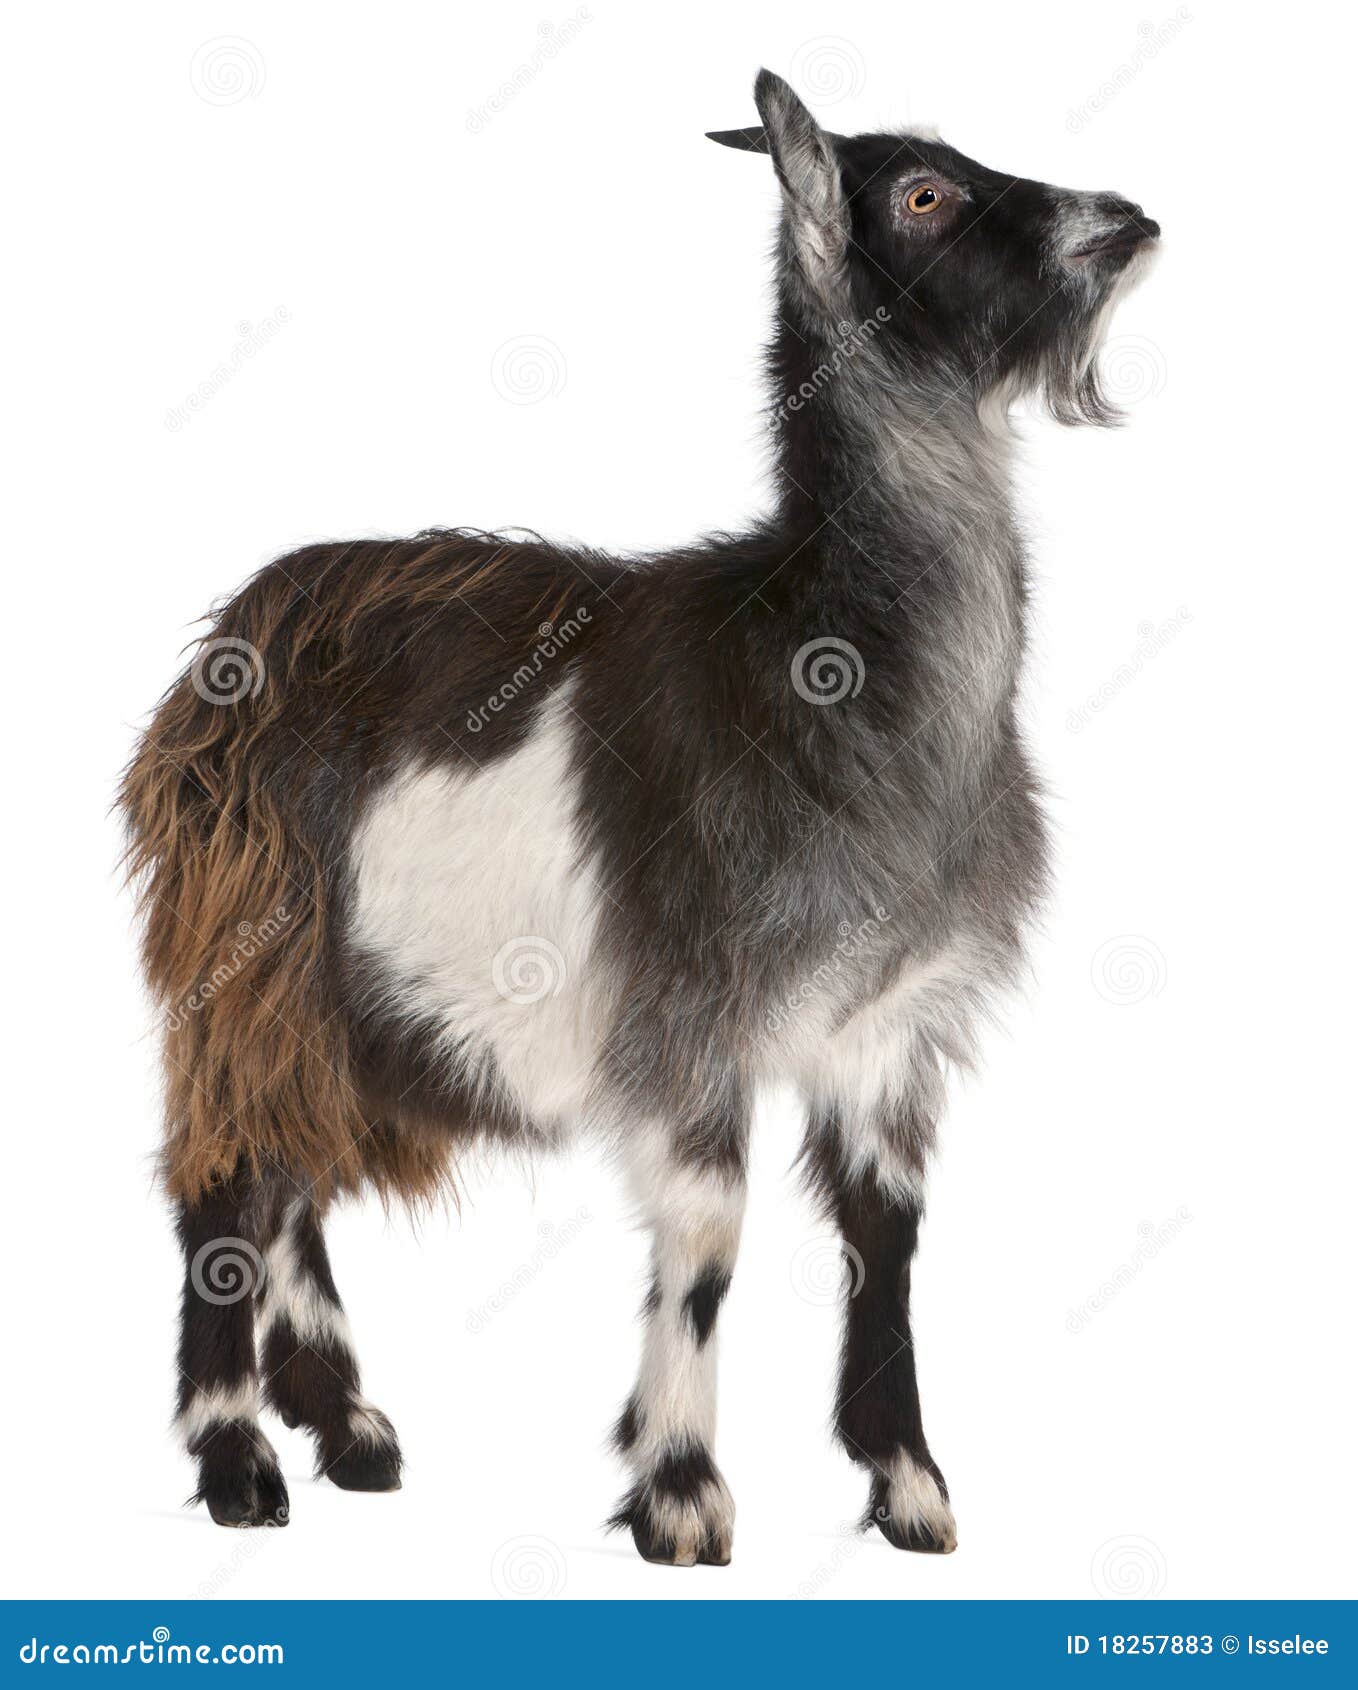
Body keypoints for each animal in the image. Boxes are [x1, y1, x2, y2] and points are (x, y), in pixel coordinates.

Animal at [120, 69, 1158, 1565]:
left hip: (335, 984)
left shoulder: (889, 1022)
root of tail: (231, 635)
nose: (1125, 221)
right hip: (246, 941)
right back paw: (238, 1462)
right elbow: (710, 1240)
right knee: (231, 1174)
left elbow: (885, 1242)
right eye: (922, 194)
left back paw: (350, 1430)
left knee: (296, 1165)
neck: (825, 659)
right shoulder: (690, 1008)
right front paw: (679, 1495)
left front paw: (908, 1486)